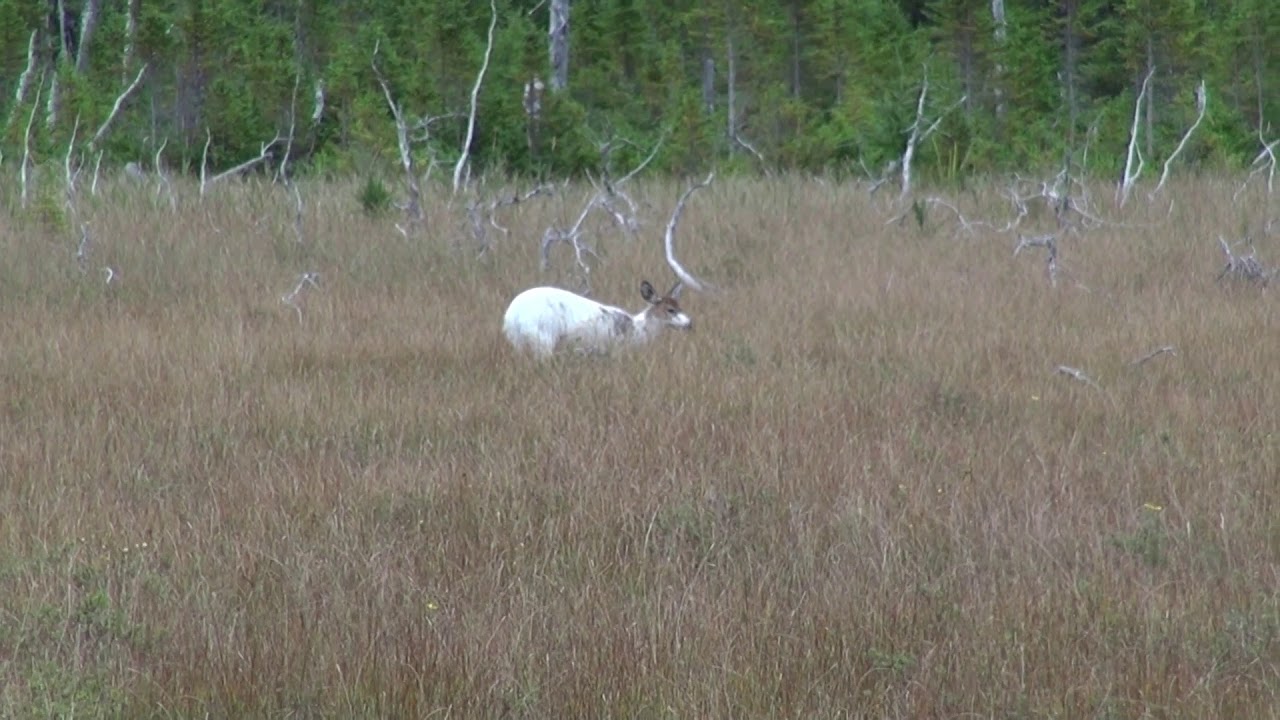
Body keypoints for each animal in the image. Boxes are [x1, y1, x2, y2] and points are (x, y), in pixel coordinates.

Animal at [503, 173, 715, 359]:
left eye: (680, 305)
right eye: (670, 310)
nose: (690, 323)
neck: (636, 330)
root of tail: (511, 319)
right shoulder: (613, 350)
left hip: (522, 343)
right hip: (542, 338)